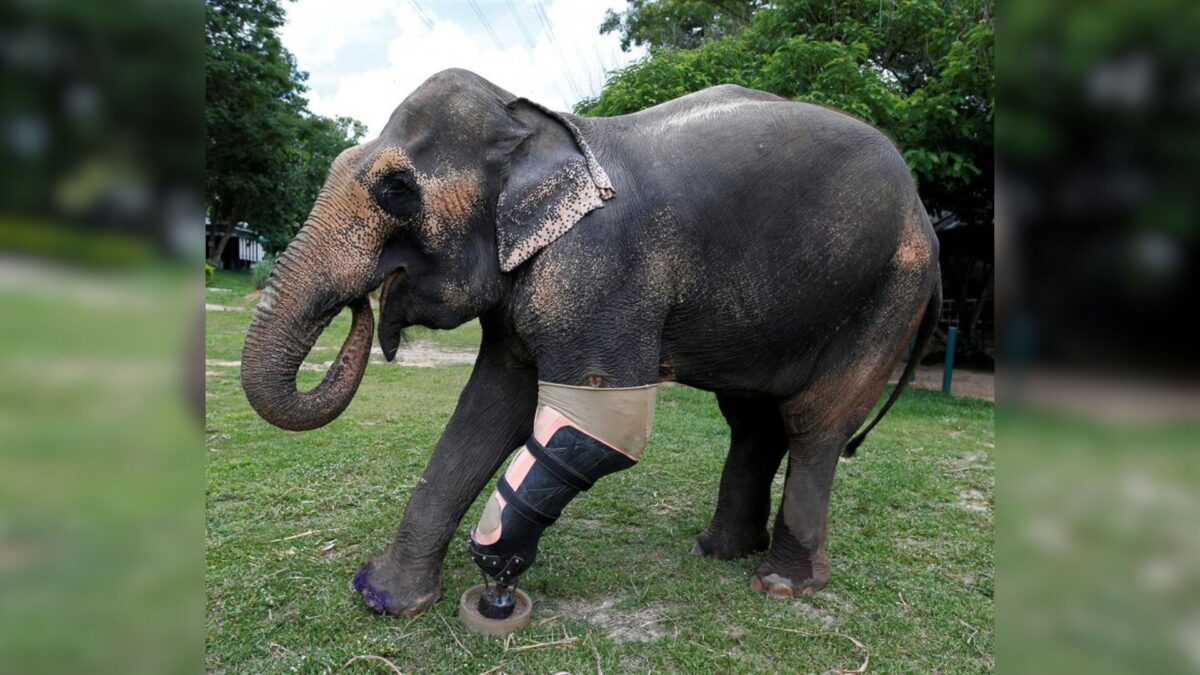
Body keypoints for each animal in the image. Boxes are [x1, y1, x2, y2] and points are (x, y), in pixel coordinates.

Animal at [240, 69, 941, 616]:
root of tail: (924, 215)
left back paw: (782, 584)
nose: (364, 303)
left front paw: (497, 562)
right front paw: (385, 599)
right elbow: (488, 409)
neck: (535, 122)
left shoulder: (601, 268)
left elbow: (604, 425)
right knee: (752, 417)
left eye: (397, 190)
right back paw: (718, 551)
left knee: (812, 418)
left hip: (890, 289)